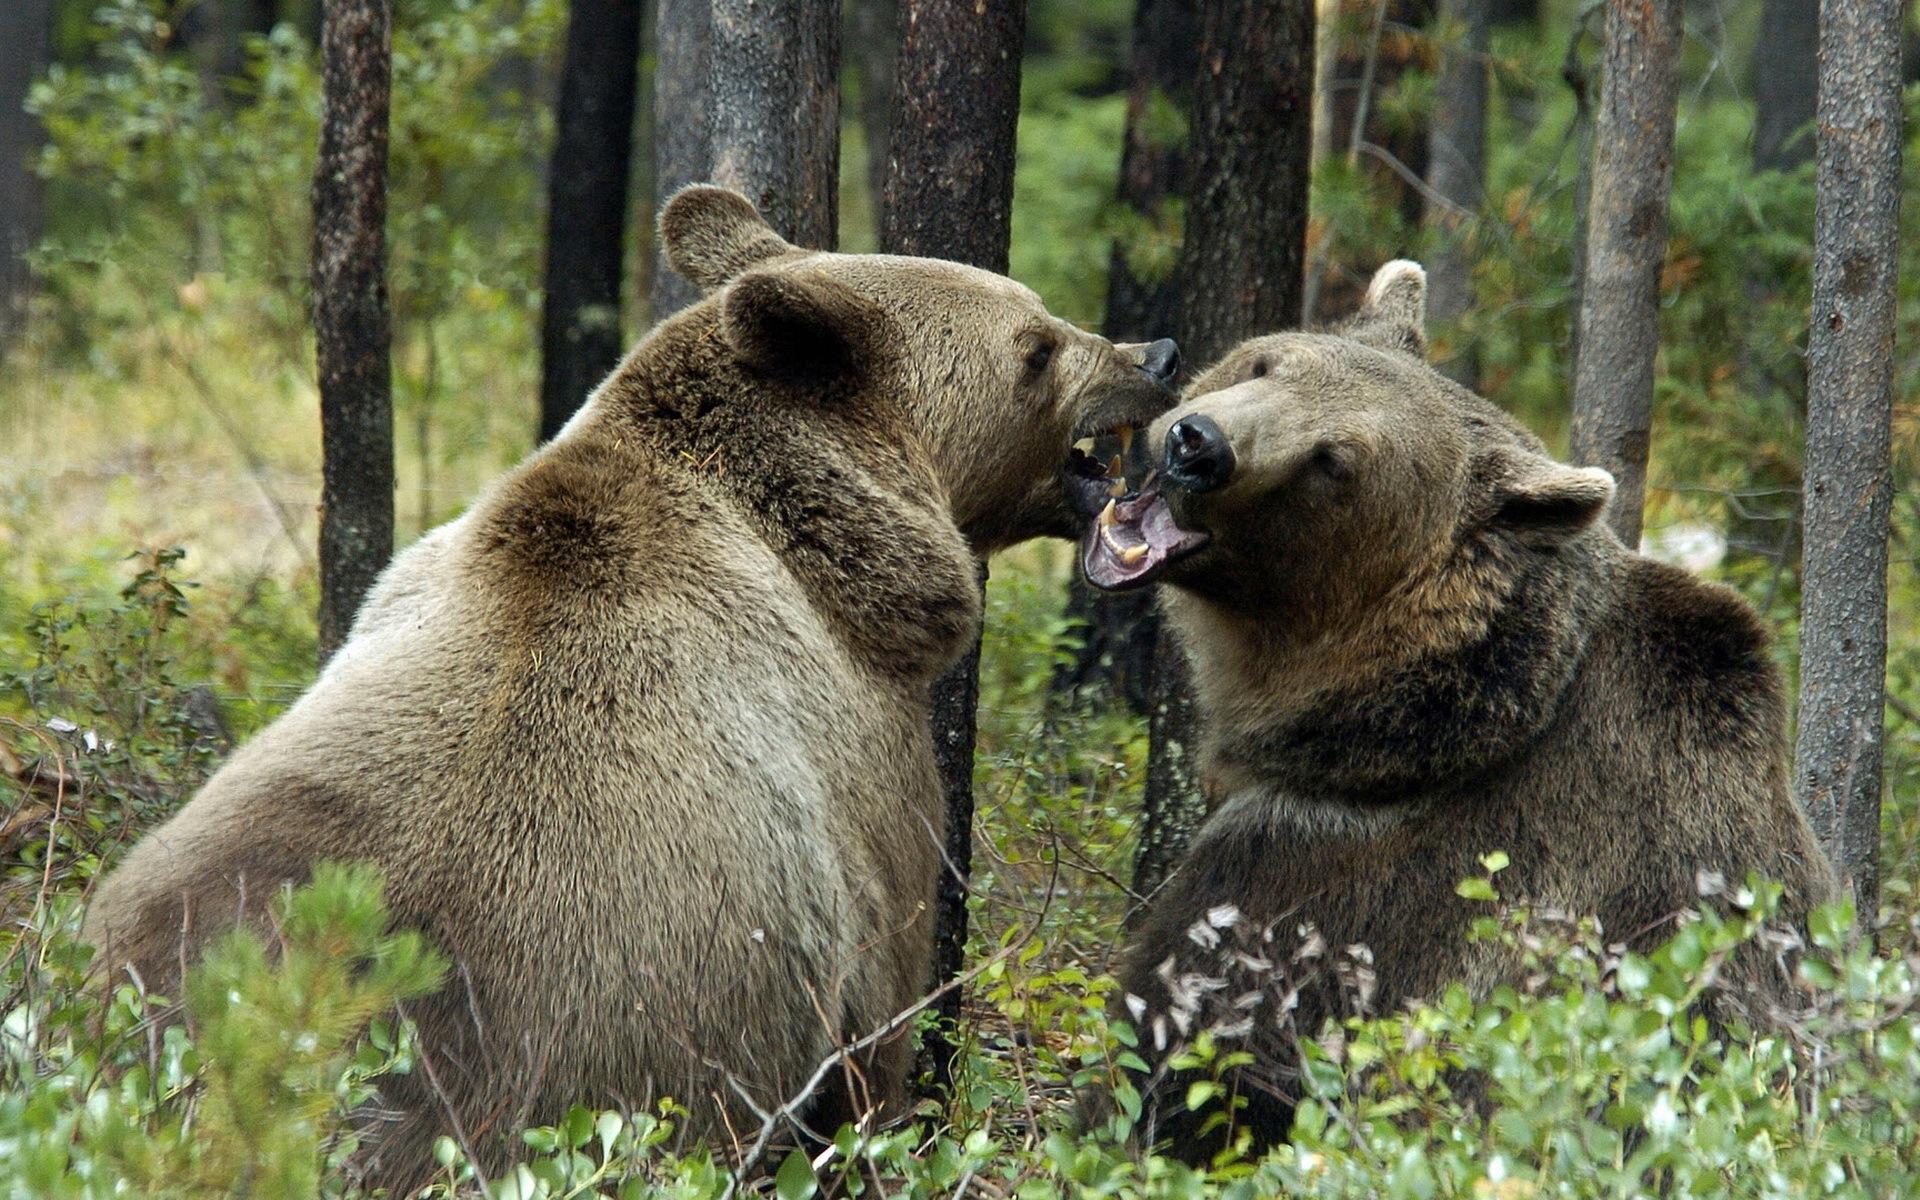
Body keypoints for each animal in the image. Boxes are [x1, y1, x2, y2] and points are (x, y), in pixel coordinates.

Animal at [82, 185, 1180, 1194]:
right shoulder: (862, 780)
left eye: (1044, 316)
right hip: (567, 1046)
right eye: (1036, 344)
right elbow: (884, 1014)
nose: (1158, 355)